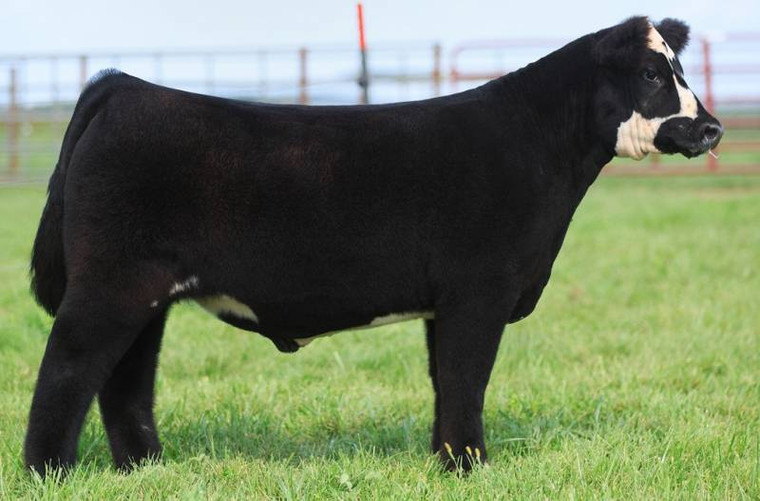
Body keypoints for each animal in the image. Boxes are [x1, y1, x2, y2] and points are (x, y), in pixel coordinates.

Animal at [25, 16, 722, 475]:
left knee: (125, 379)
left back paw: (145, 467)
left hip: (147, 293)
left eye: (681, 68)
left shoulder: (450, 300)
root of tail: (125, 87)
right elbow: (467, 377)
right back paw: (50, 471)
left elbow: (446, 380)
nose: (713, 128)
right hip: (111, 281)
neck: (539, 148)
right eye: (651, 74)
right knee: (69, 367)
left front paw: (449, 461)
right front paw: (471, 466)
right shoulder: (479, 290)